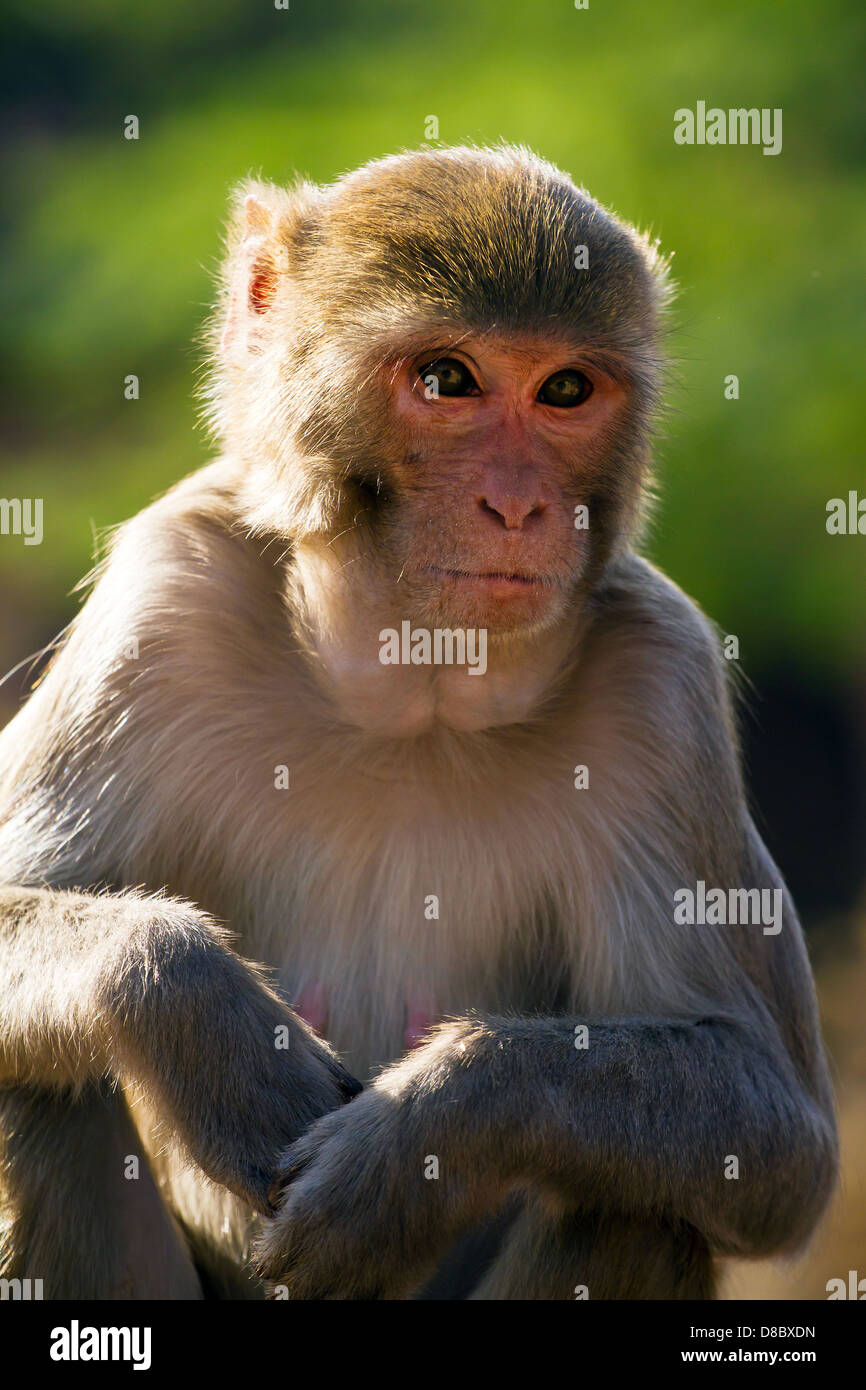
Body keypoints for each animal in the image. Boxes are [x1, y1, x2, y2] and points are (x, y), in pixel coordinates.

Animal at [0, 144, 837, 1301]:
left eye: (565, 389)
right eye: (447, 380)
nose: (519, 506)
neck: (412, 698)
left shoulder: (661, 686)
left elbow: (779, 1135)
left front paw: (420, 1138)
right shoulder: (165, 597)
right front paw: (197, 1018)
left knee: (644, 1202)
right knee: (43, 1085)